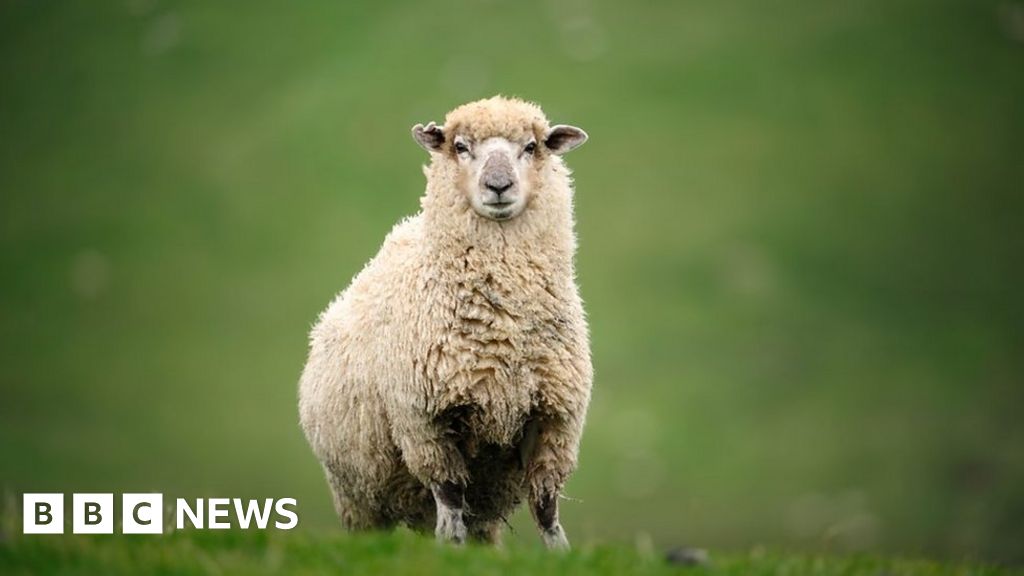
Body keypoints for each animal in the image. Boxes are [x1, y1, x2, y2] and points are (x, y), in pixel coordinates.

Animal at [298, 96, 592, 549]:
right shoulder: (426, 423)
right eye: (460, 146)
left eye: (531, 146)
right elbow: (451, 501)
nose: (498, 185)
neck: (504, 325)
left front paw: (559, 553)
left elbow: (546, 508)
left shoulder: (553, 419)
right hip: (356, 494)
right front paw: (450, 548)